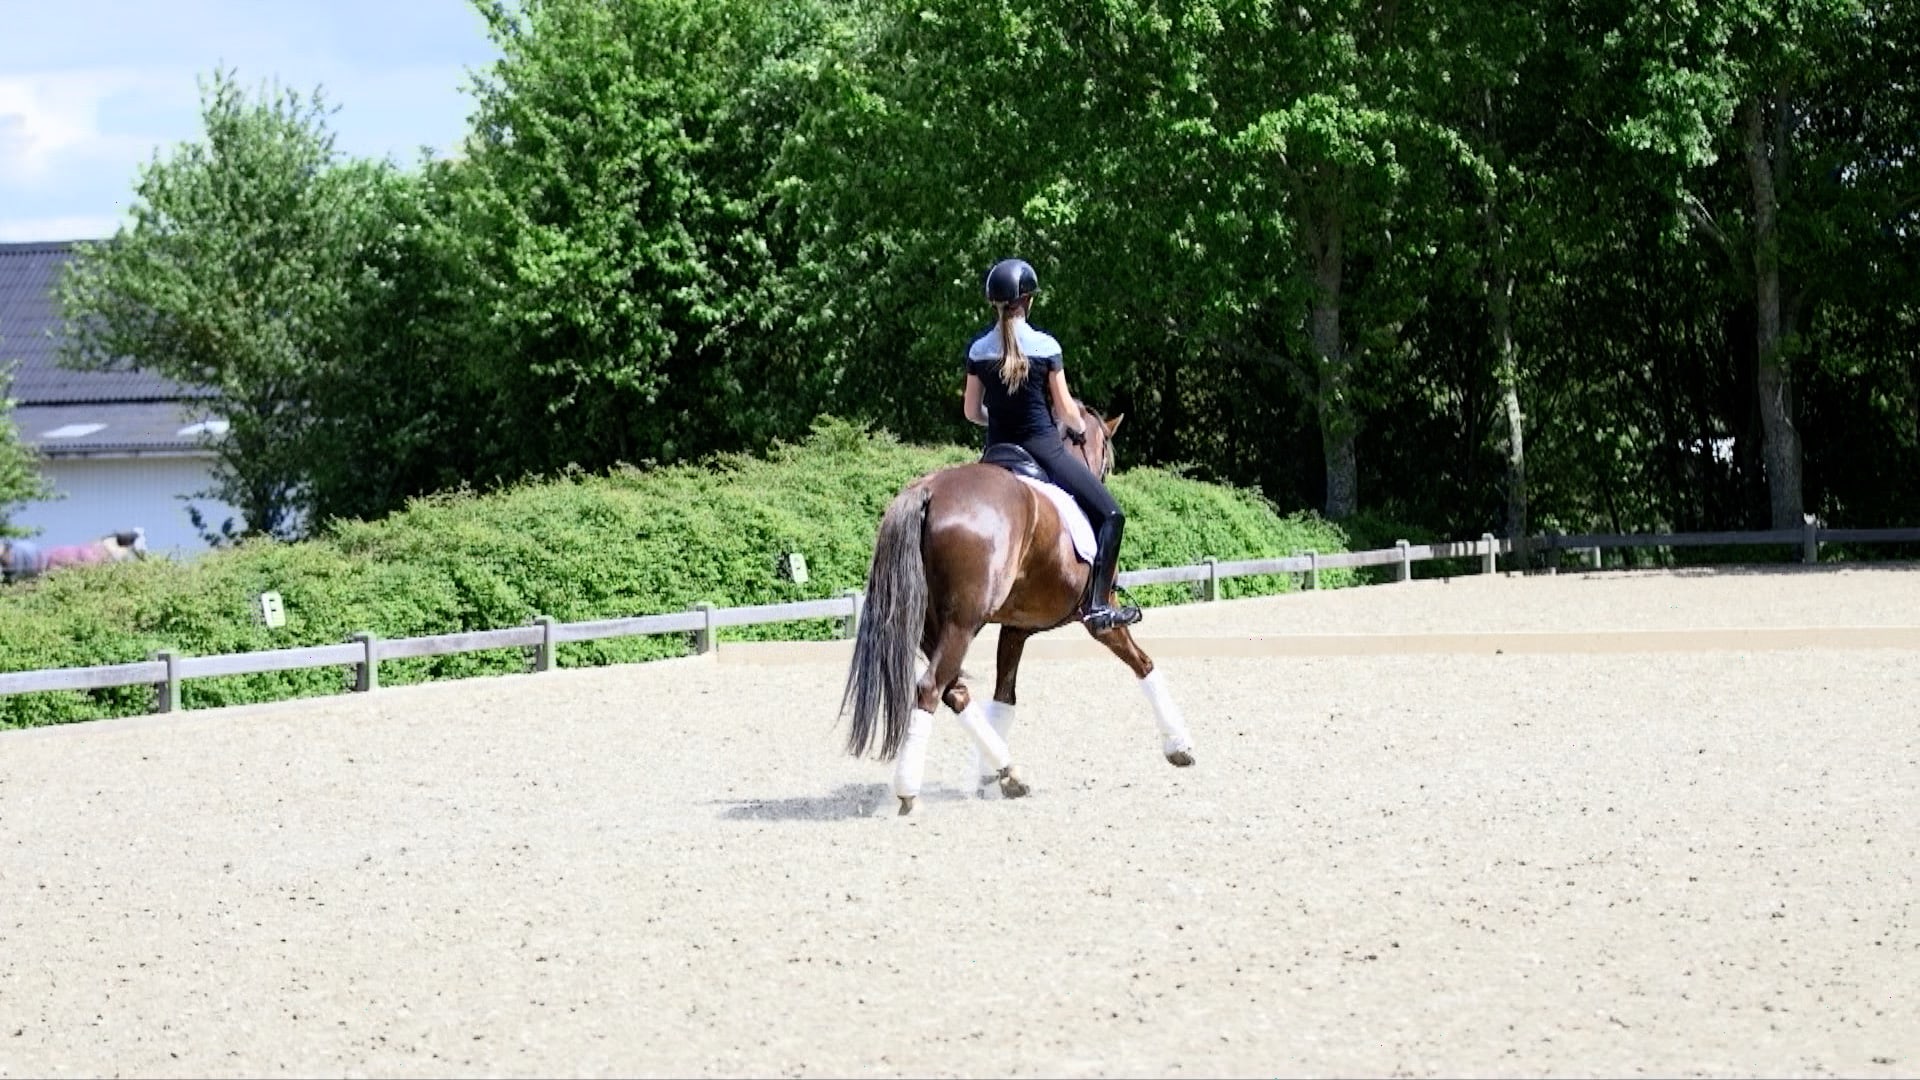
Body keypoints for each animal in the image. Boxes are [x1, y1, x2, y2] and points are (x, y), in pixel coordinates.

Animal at [841, 405, 1195, 815]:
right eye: (1107, 454)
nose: (1104, 472)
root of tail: (928, 490)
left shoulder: (1015, 628)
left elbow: (1004, 697)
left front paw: (986, 775)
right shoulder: (1101, 618)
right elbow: (1143, 662)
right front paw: (1179, 744)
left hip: (931, 626)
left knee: (954, 691)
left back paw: (1008, 771)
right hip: (962, 624)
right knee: (931, 688)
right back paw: (909, 792)